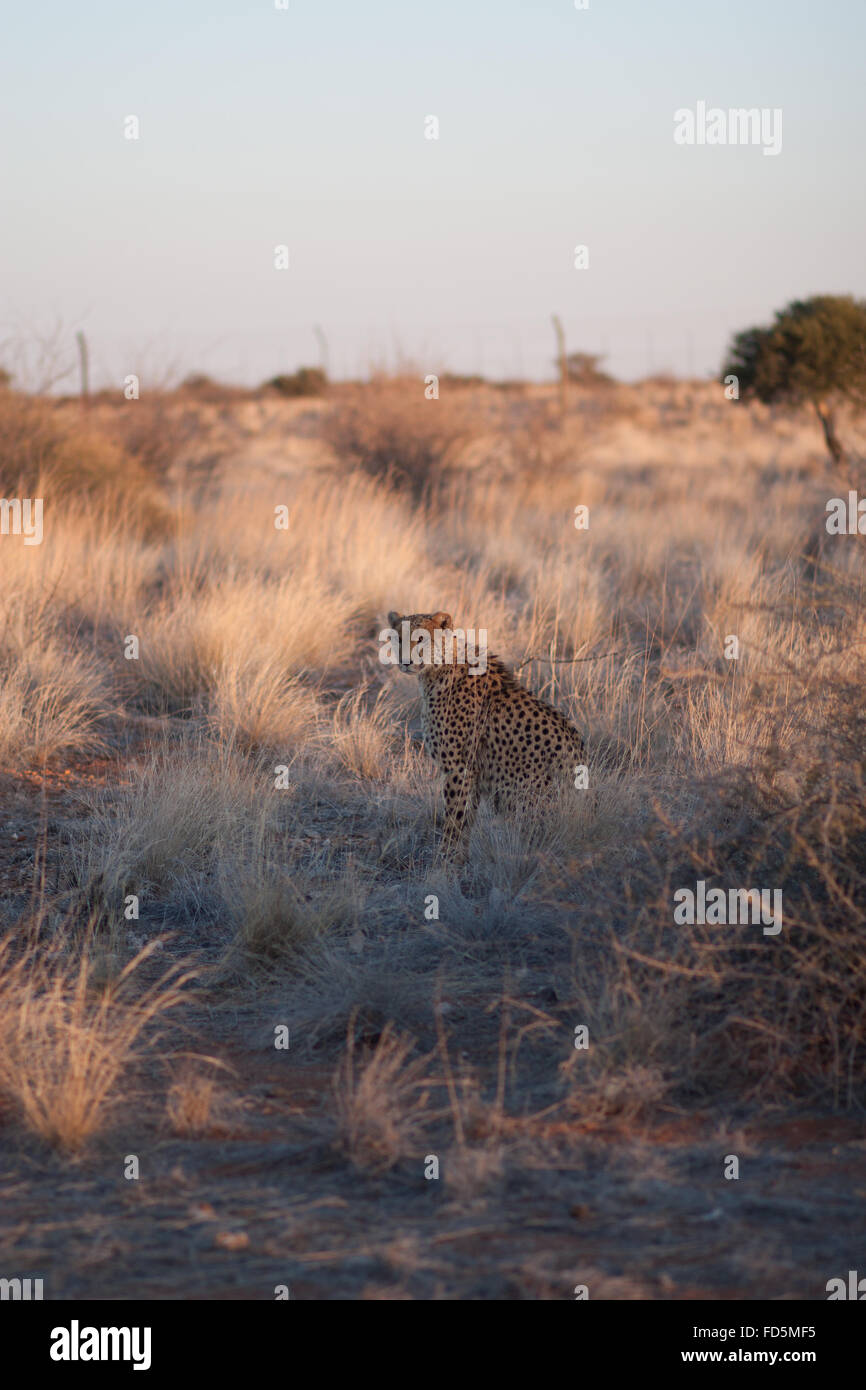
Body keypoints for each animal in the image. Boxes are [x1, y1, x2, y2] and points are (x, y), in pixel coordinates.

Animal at [387, 610, 587, 855]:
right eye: (399, 639)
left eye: (422, 639)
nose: (405, 662)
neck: (438, 669)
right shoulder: (473, 774)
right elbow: (466, 820)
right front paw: (459, 858)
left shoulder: (459, 769)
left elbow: (453, 819)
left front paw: (443, 858)